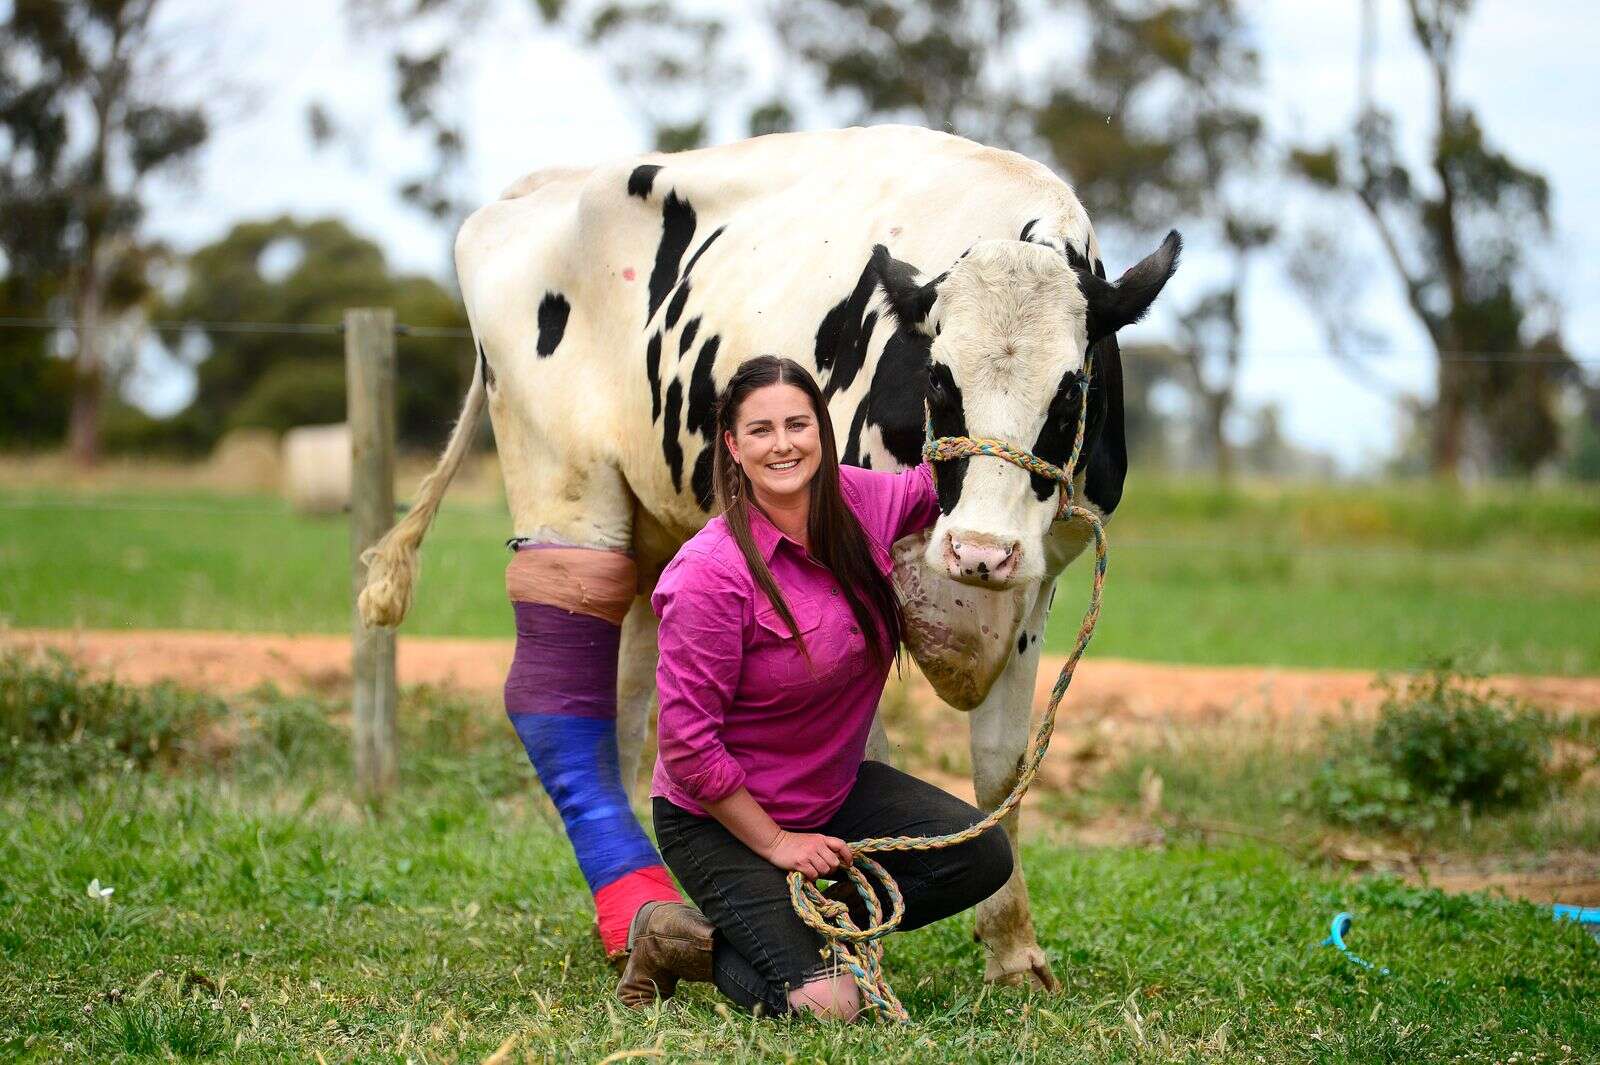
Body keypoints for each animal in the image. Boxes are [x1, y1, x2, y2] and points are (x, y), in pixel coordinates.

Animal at [359, 124, 1180, 990]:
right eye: (938, 378)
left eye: (1072, 388)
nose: (978, 549)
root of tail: (537, 187)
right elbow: (860, 749)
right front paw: (852, 932)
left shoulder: (1035, 581)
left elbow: (1001, 767)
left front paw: (1014, 953)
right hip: (567, 497)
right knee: (554, 702)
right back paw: (637, 912)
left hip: (651, 535)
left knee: (621, 714)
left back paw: (646, 910)